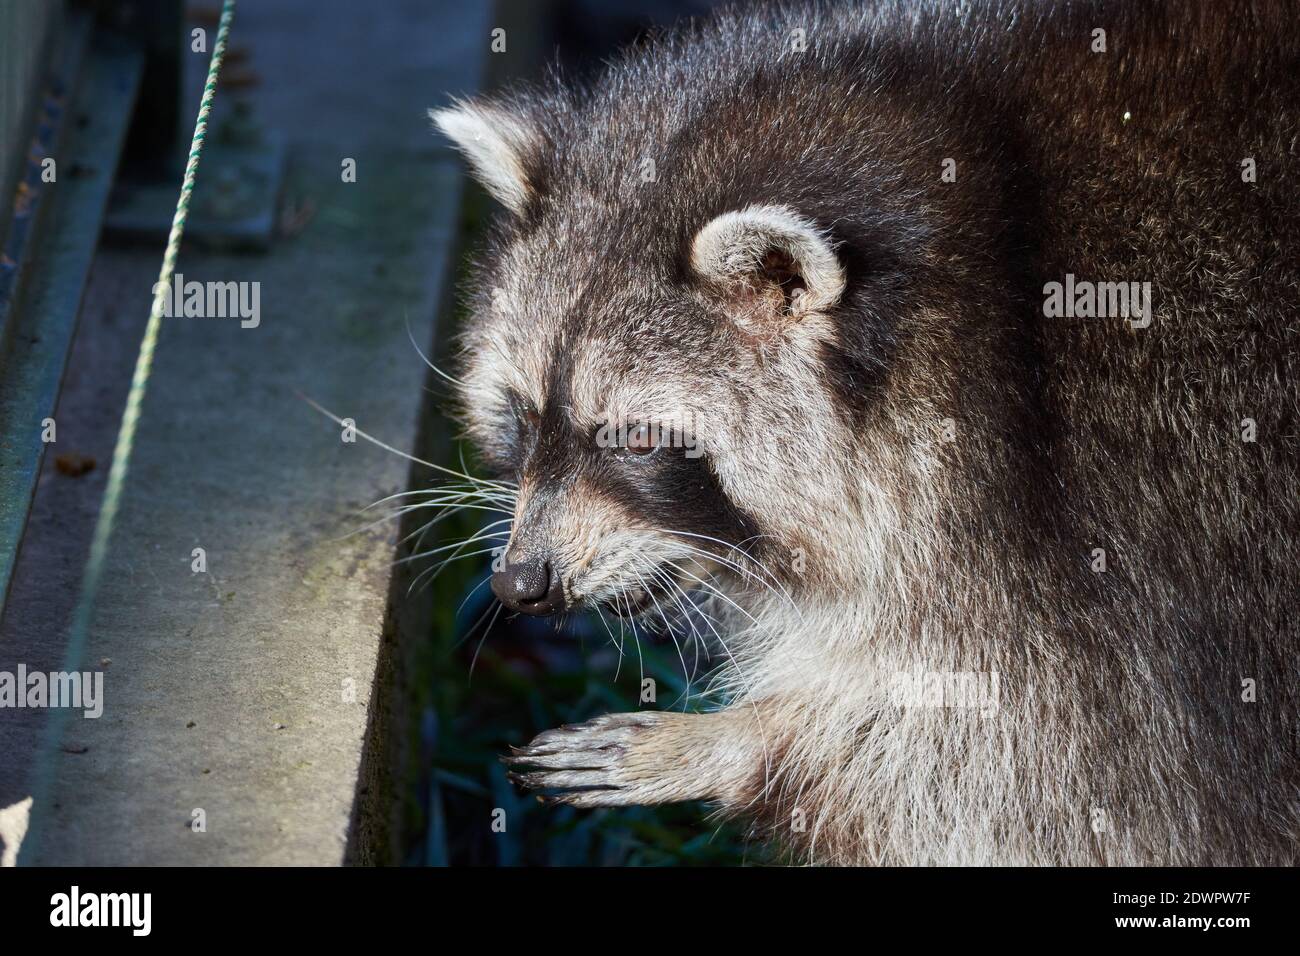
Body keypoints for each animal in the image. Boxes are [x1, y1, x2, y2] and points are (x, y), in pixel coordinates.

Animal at [430, 0, 1299, 865]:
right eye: (524, 415)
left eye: (636, 439)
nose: (518, 582)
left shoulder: (1101, 514)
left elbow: (1040, 771)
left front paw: (744, 741)